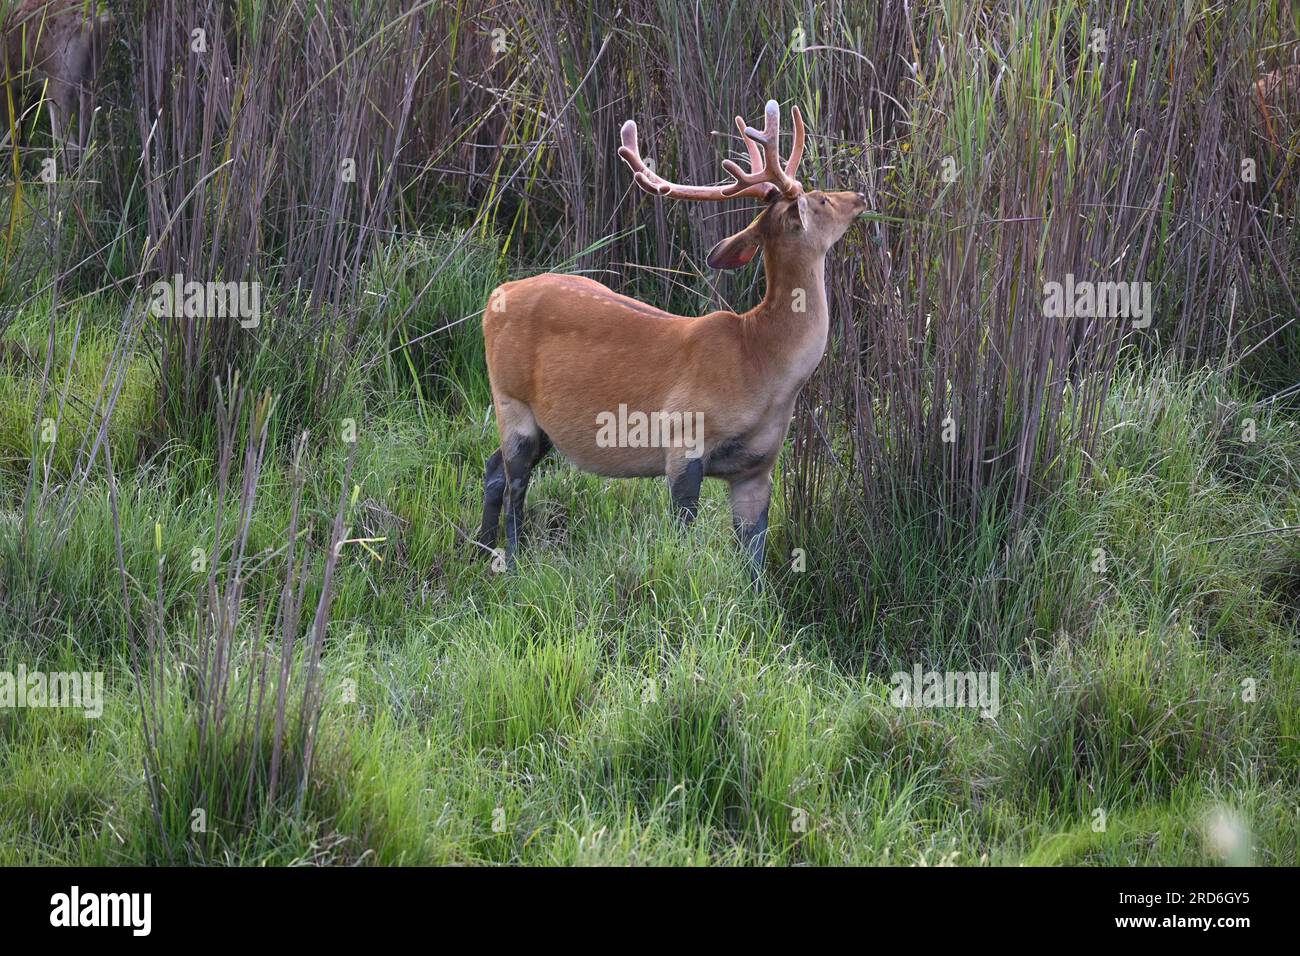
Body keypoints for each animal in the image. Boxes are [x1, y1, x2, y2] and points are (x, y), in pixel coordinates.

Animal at [2, 1, 112, 165]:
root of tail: (94, 23)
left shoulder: (6, 85)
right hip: (91, 78)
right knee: (87, 138)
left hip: (58, 79)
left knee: (69, 145)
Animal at [477, 99, 867, 581]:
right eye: (821, 198)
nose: (860, 197)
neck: (761, 362)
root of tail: (496, 295)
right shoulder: (684, 434)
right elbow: (683, 531)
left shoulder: (758, 466)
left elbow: (754, 561)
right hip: (510, 397)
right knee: (515, 482)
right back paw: (511, 562)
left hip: (543, 420)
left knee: (494, 467)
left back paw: (481, 549)